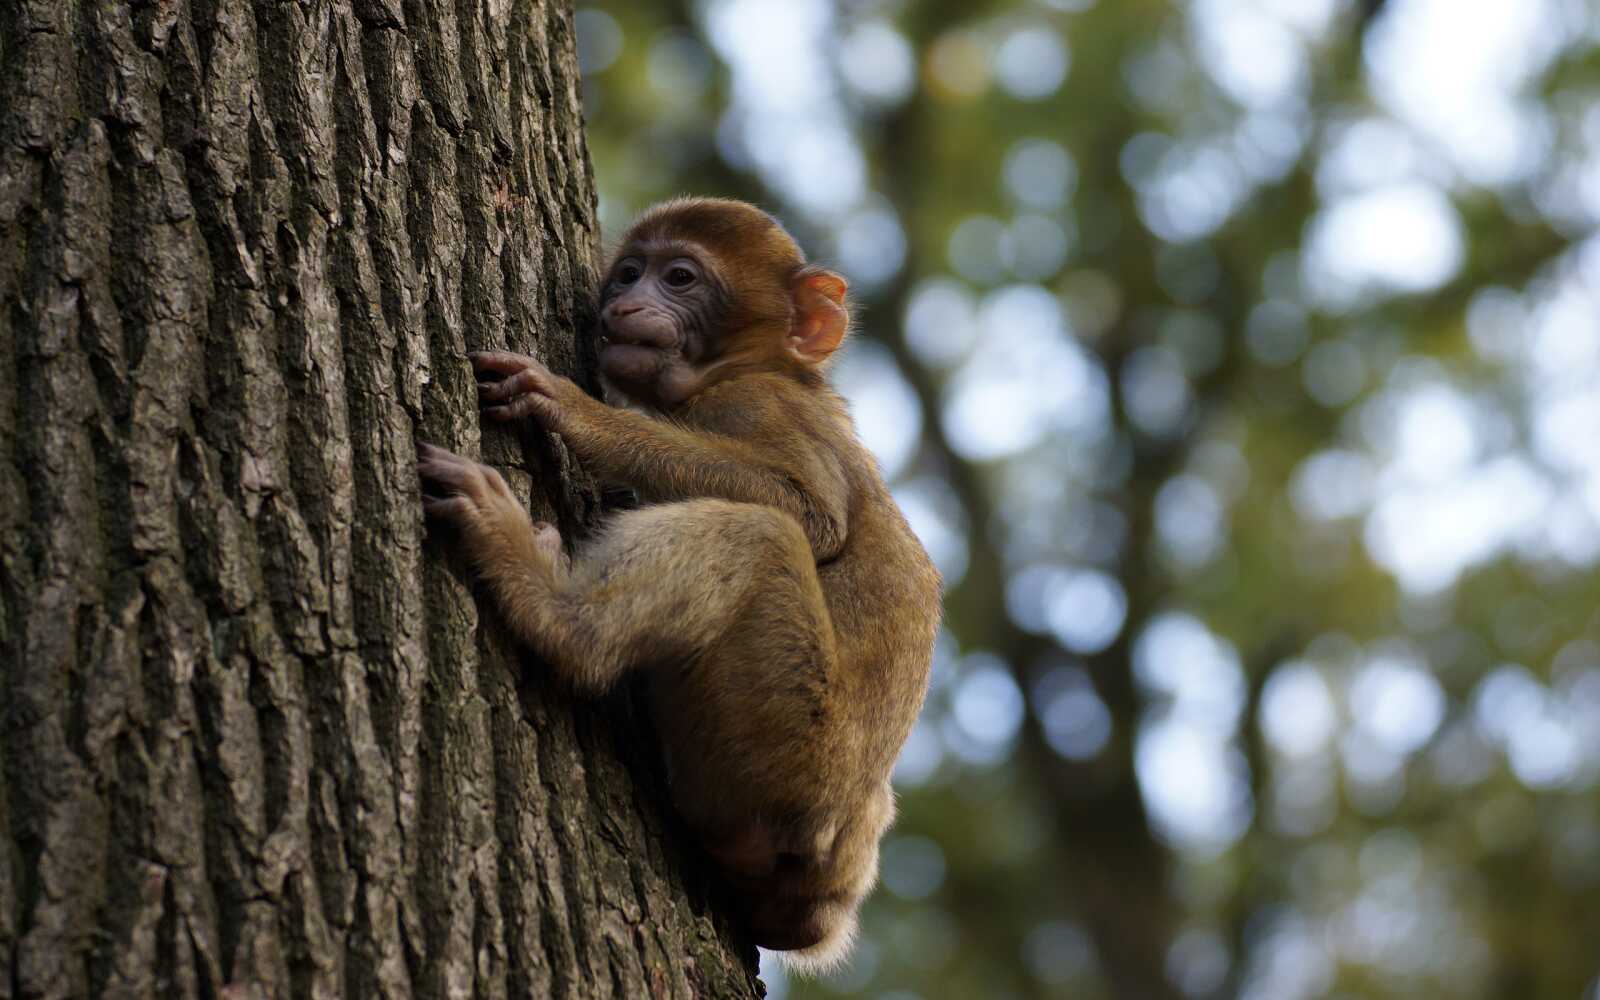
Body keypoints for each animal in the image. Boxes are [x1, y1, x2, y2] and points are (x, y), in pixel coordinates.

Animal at [415, 197, 941, 973]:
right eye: (630, 271)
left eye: (681, 278)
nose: (625, 301)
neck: (749, 367)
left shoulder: (755, 404)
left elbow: (808, 515)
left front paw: (578, 413)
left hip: (782, 745)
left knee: (760, 536)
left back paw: (551, 606)